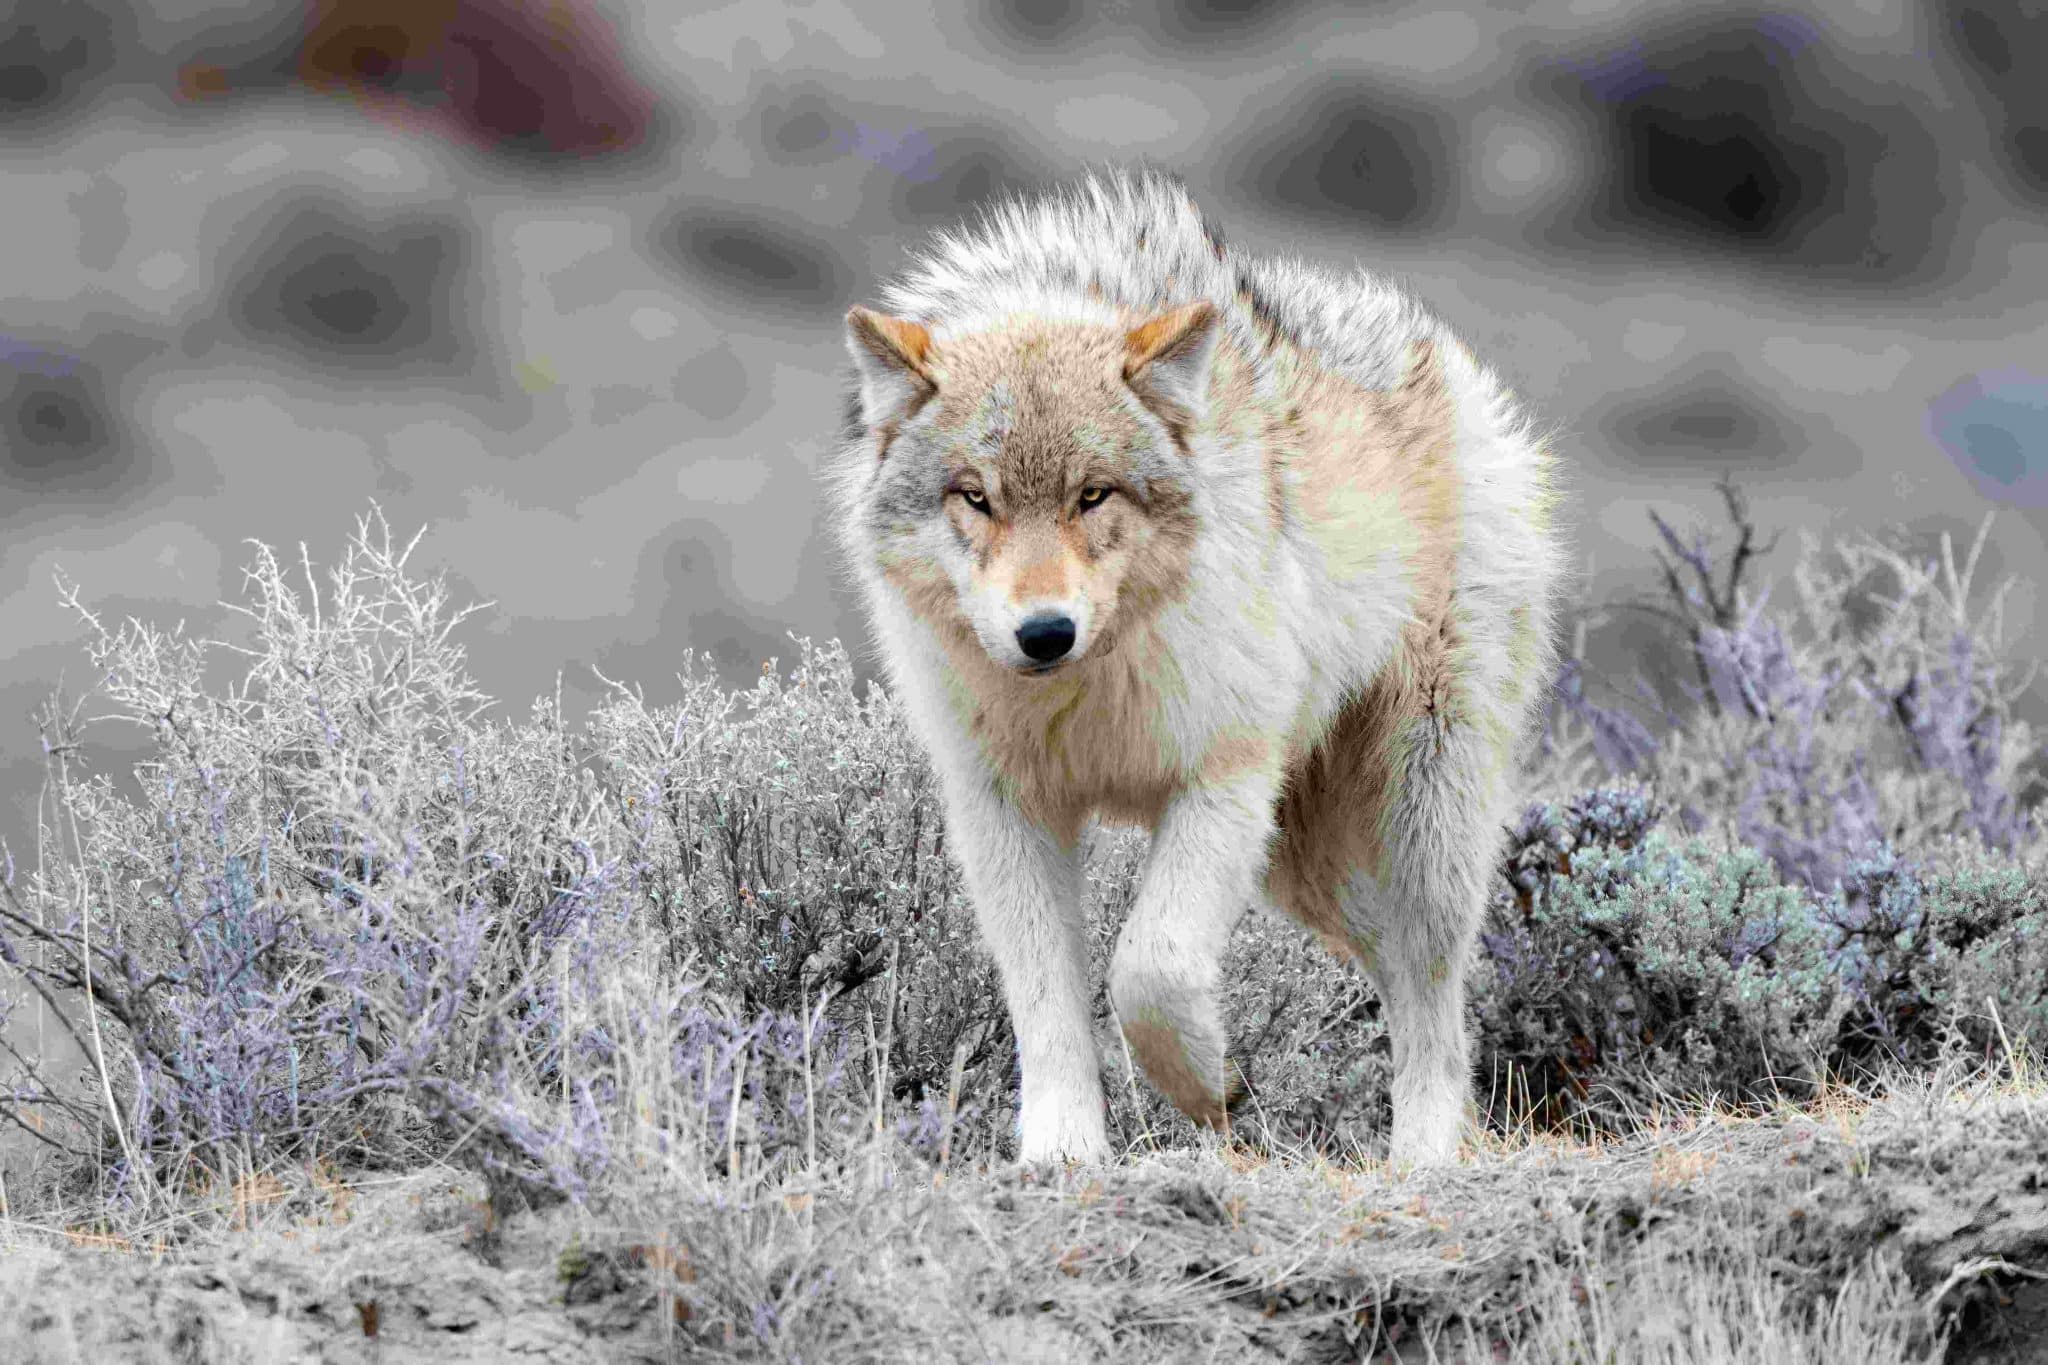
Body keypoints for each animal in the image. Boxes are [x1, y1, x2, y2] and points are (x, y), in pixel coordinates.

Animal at [828, 165, 1565, 1167]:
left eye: (1092, 495)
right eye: (974, 499)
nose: (1045, 632)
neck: (1085, 695)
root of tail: (1448, 360)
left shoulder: (1225, 780)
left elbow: (1149, 969)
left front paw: (1207, 1082)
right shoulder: (1004, 811)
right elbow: (1048, 1003)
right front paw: (1061, 1152)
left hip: (1417, 830)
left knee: (1435, 1004)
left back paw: (1424, 1159)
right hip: (1308, 866)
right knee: (1390, 974)